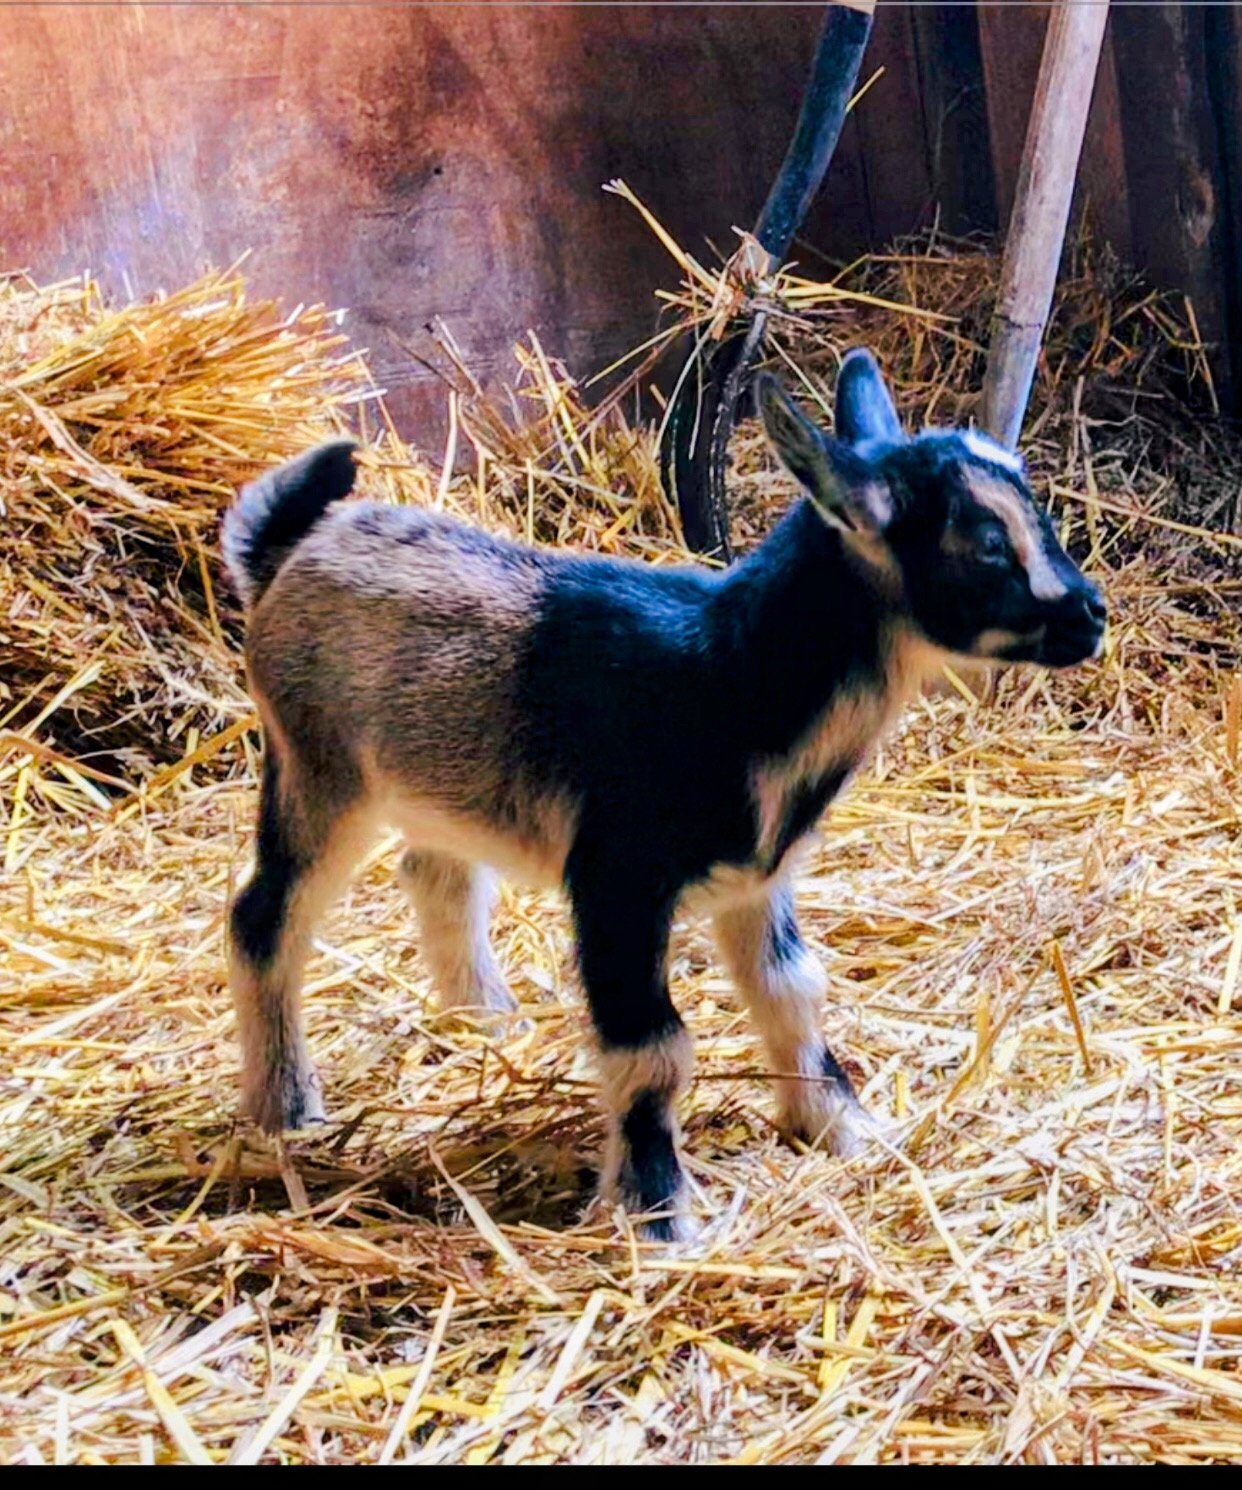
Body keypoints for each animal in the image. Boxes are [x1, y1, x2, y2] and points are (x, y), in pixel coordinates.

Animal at [221, 350, 1106, 1240]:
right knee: (264, 917)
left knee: (439, 878)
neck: (730, 676)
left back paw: (493, 1025)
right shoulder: (618, 879)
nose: (1092, 614)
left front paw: (844, 1128)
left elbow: (793, 991)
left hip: (435, 781)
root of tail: (286, 550)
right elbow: (653, 1047)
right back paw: (286, 1109)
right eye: (986, 541)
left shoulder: (757, 878)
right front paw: (659, 1216)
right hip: (317, 770)